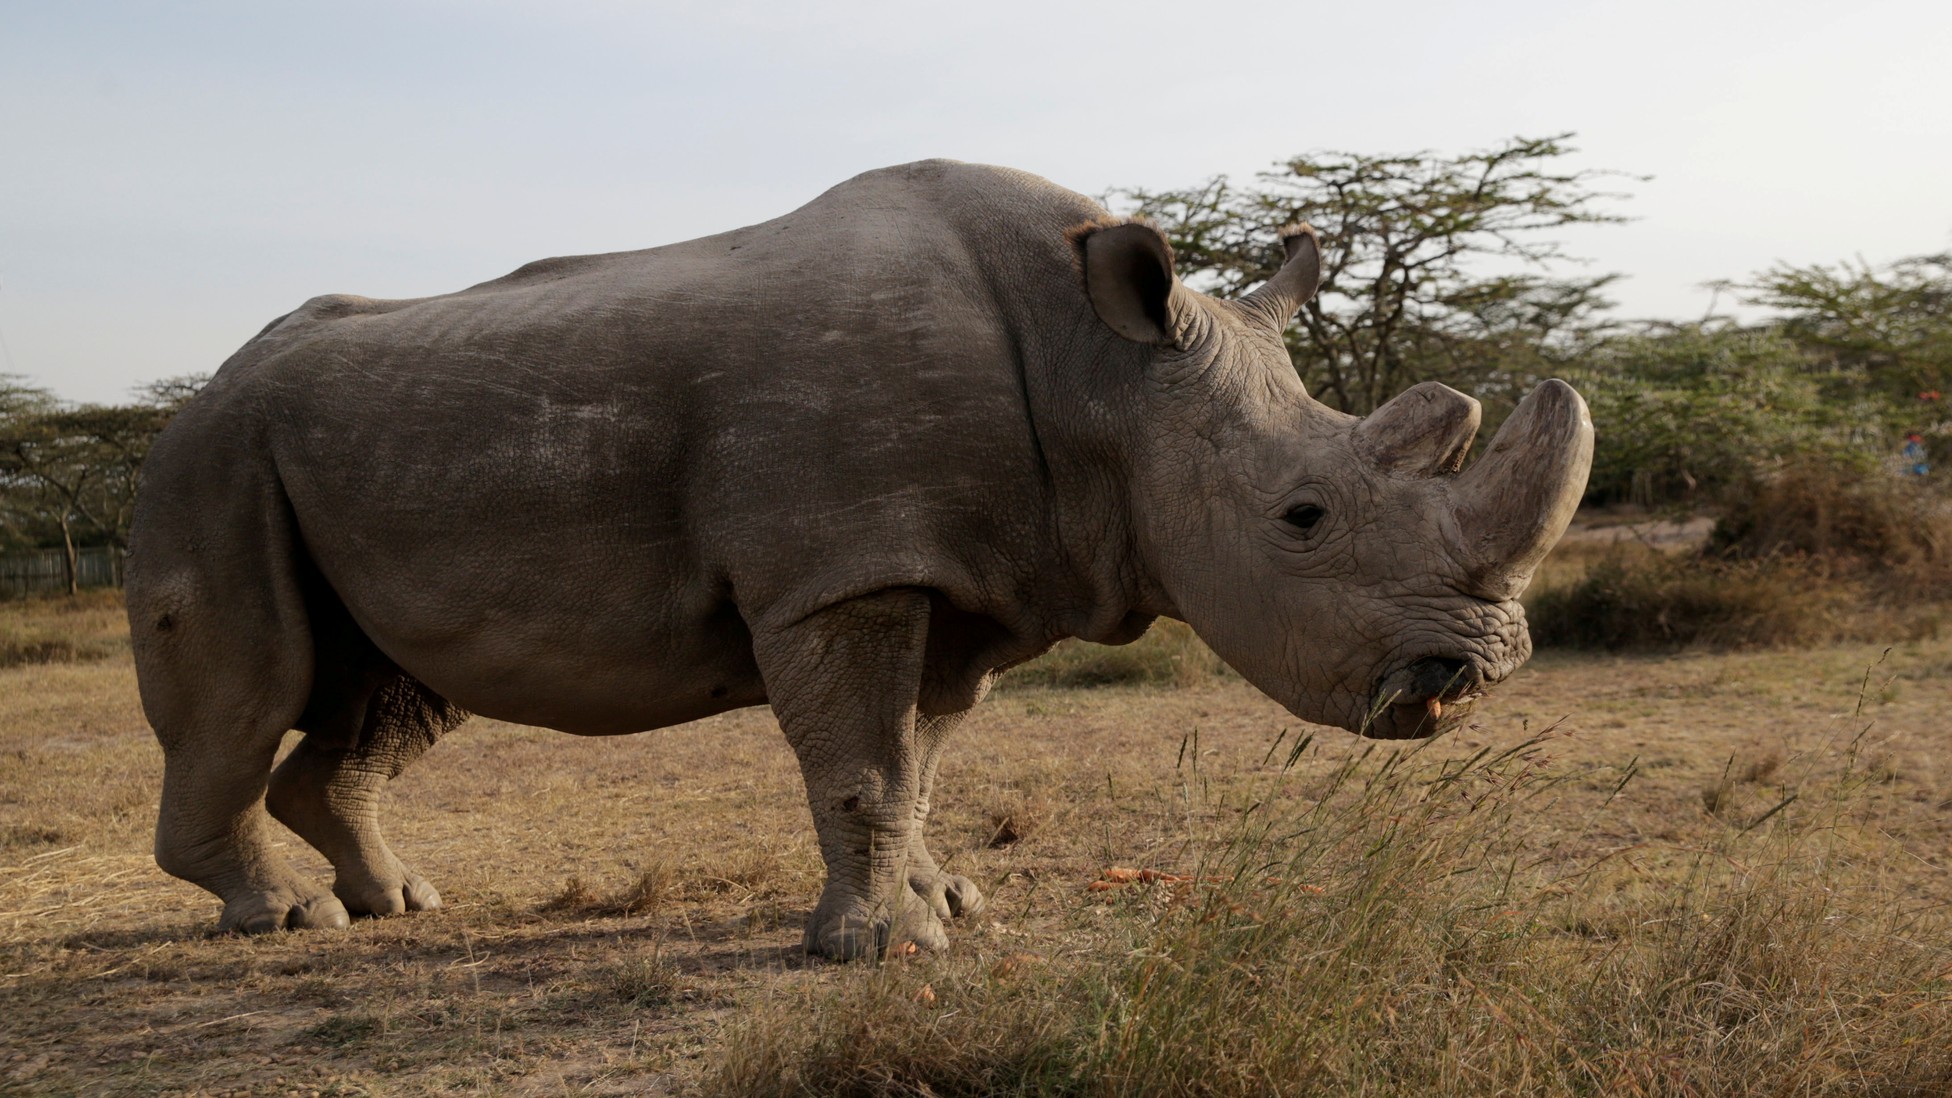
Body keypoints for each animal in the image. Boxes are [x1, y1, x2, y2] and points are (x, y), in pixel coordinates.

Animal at [128, 159, 1591, 959]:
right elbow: (863, 764)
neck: (1103, 373)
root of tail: (200, 389)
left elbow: (918, 762)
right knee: (252, 683)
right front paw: (879, 950)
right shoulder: (842, 571)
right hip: (212, 460)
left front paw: (951, 901)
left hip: (340, 458)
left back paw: (397, 903)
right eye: (1302, 517)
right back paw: (289, 919)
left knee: (389, 692)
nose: (1474, 674)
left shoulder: (965, 574)